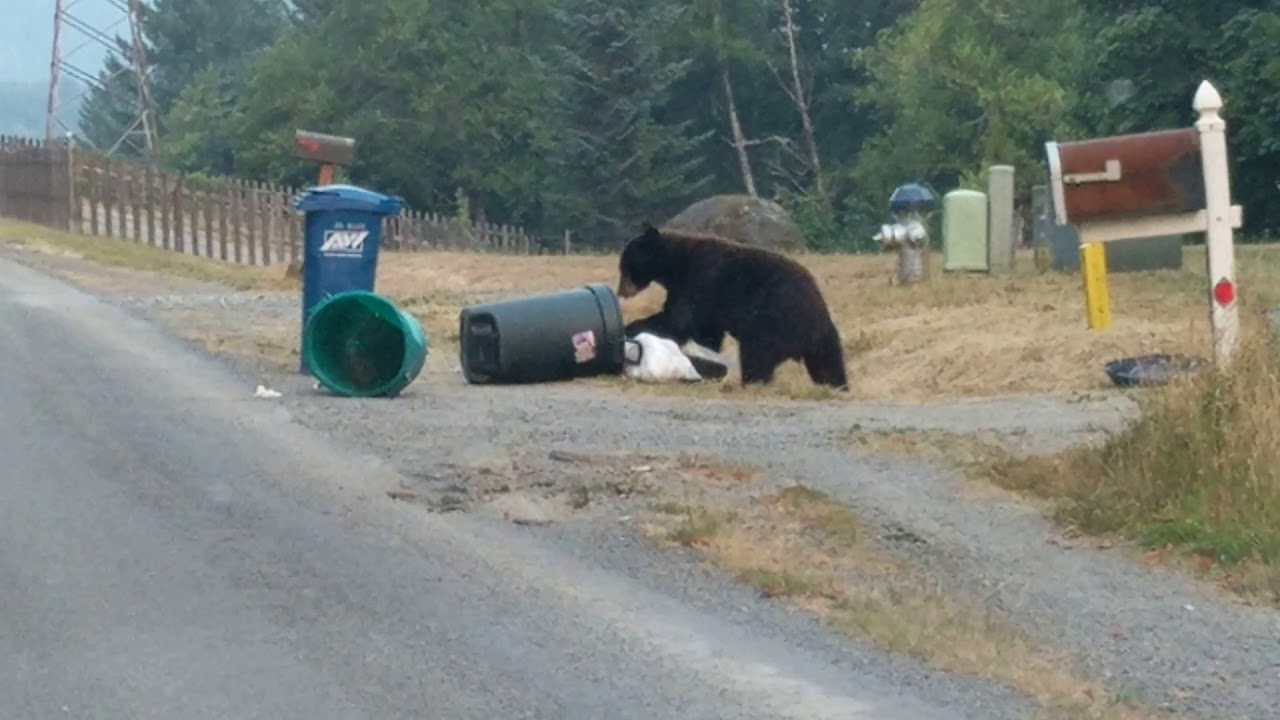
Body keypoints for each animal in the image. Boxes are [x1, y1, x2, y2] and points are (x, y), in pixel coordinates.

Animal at [616, 223, 849, 389]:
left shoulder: (700, 279)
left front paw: (632, 326)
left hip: (770, 322)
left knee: (756, 355)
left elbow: (679, 319)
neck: (675, 265)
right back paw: (837, 386)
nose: (620, 291)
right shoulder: (706, 304)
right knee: (830, 365)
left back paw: (751, 382)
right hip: (826, 342)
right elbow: (706, 332)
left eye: (625, 266)